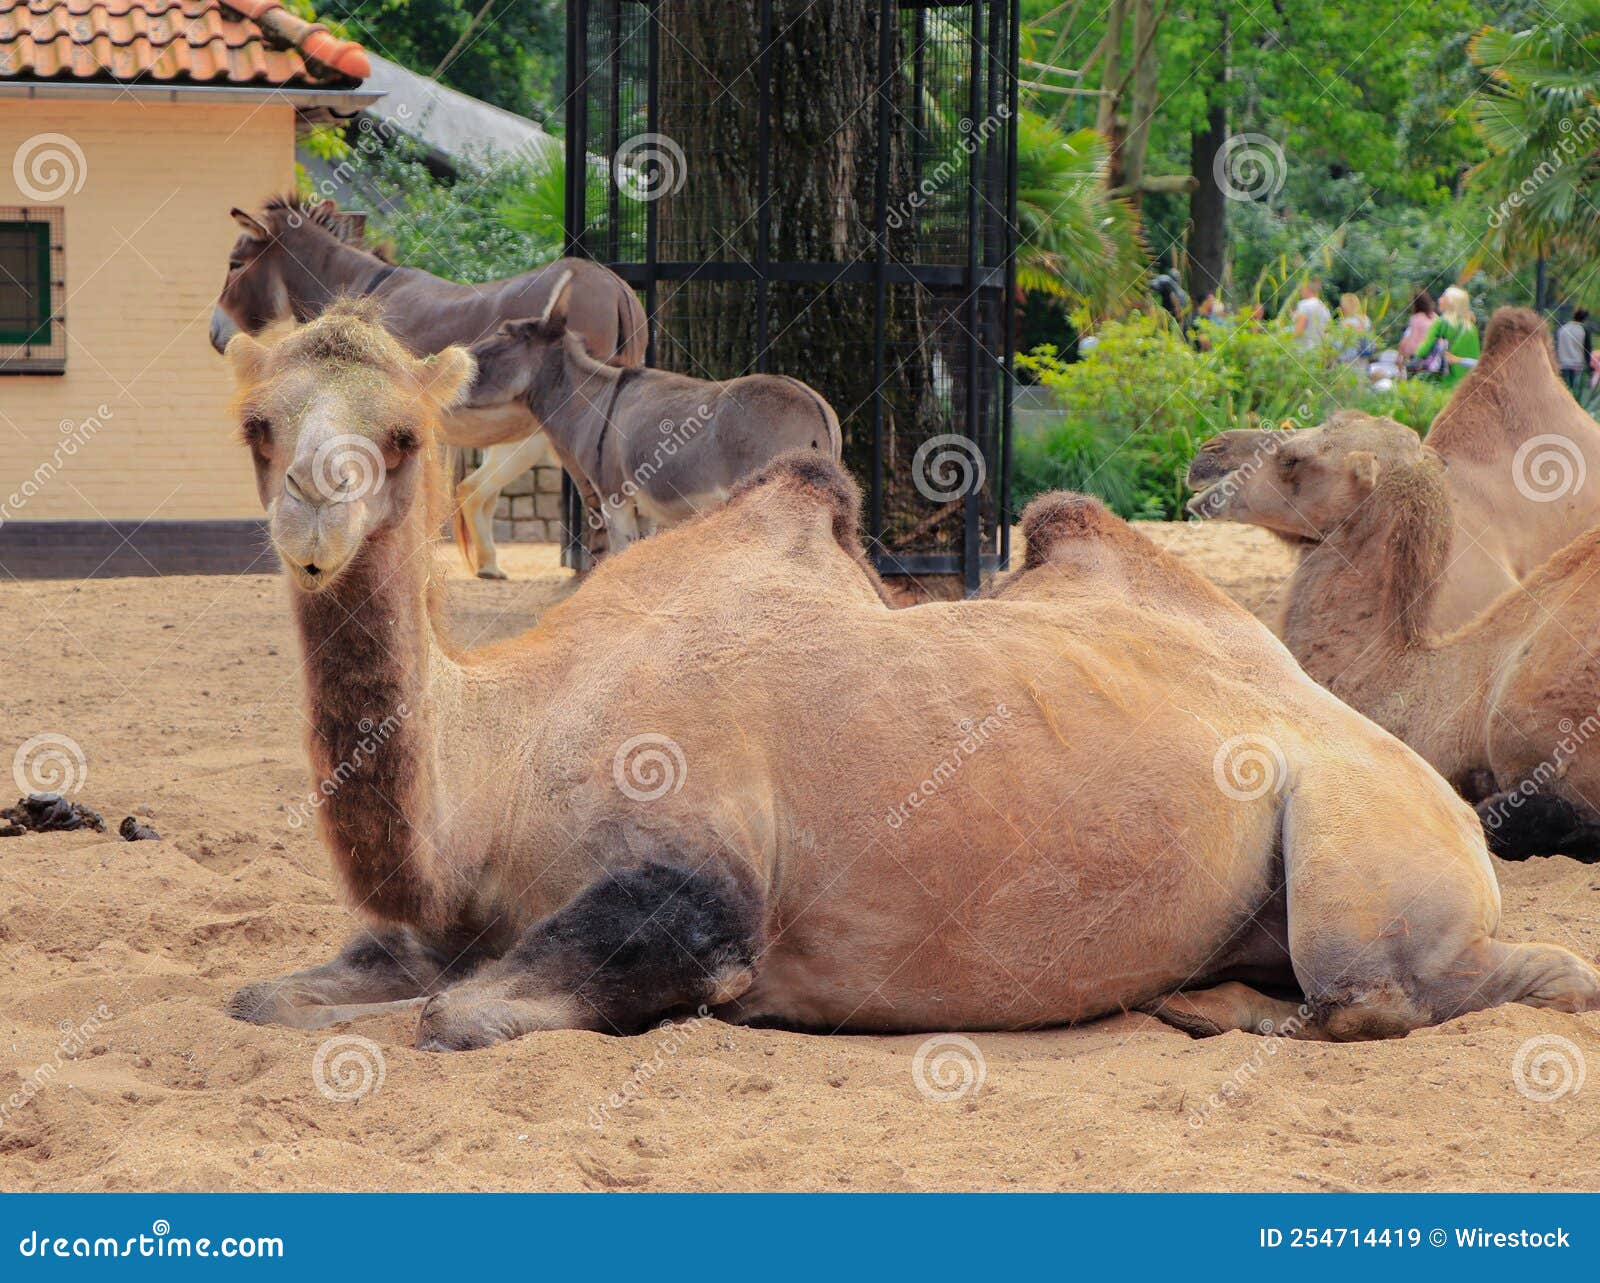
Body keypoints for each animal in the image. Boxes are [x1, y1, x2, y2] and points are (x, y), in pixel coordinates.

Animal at [462, 309, 842, 554]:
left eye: (503, 335)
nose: (453, 367)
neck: (594, 399)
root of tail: (815, 405)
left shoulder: (614, 498)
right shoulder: (643, 509)